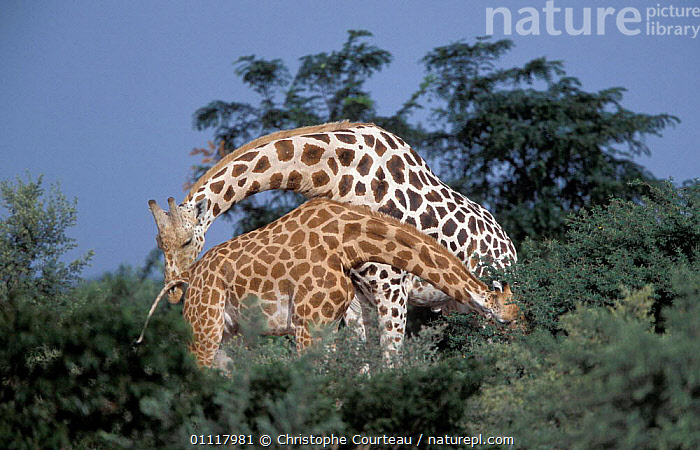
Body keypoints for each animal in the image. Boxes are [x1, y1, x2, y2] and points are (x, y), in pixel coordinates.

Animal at [138, 198, 518, 368]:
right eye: (509, 319)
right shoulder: (307, 324)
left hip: (231, 334)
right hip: (204, 326)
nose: (526, 336)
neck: (348, 239)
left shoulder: (328, 322)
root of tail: (192, 277)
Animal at [150, 121, 518, 353]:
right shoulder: (356, 296)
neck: (334, 173)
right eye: (158, 244)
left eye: (186, 242)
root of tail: (512, 250)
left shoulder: (392, 288)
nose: (174, 291)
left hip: (490, 305)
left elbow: (391, 361)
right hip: (461, 307)